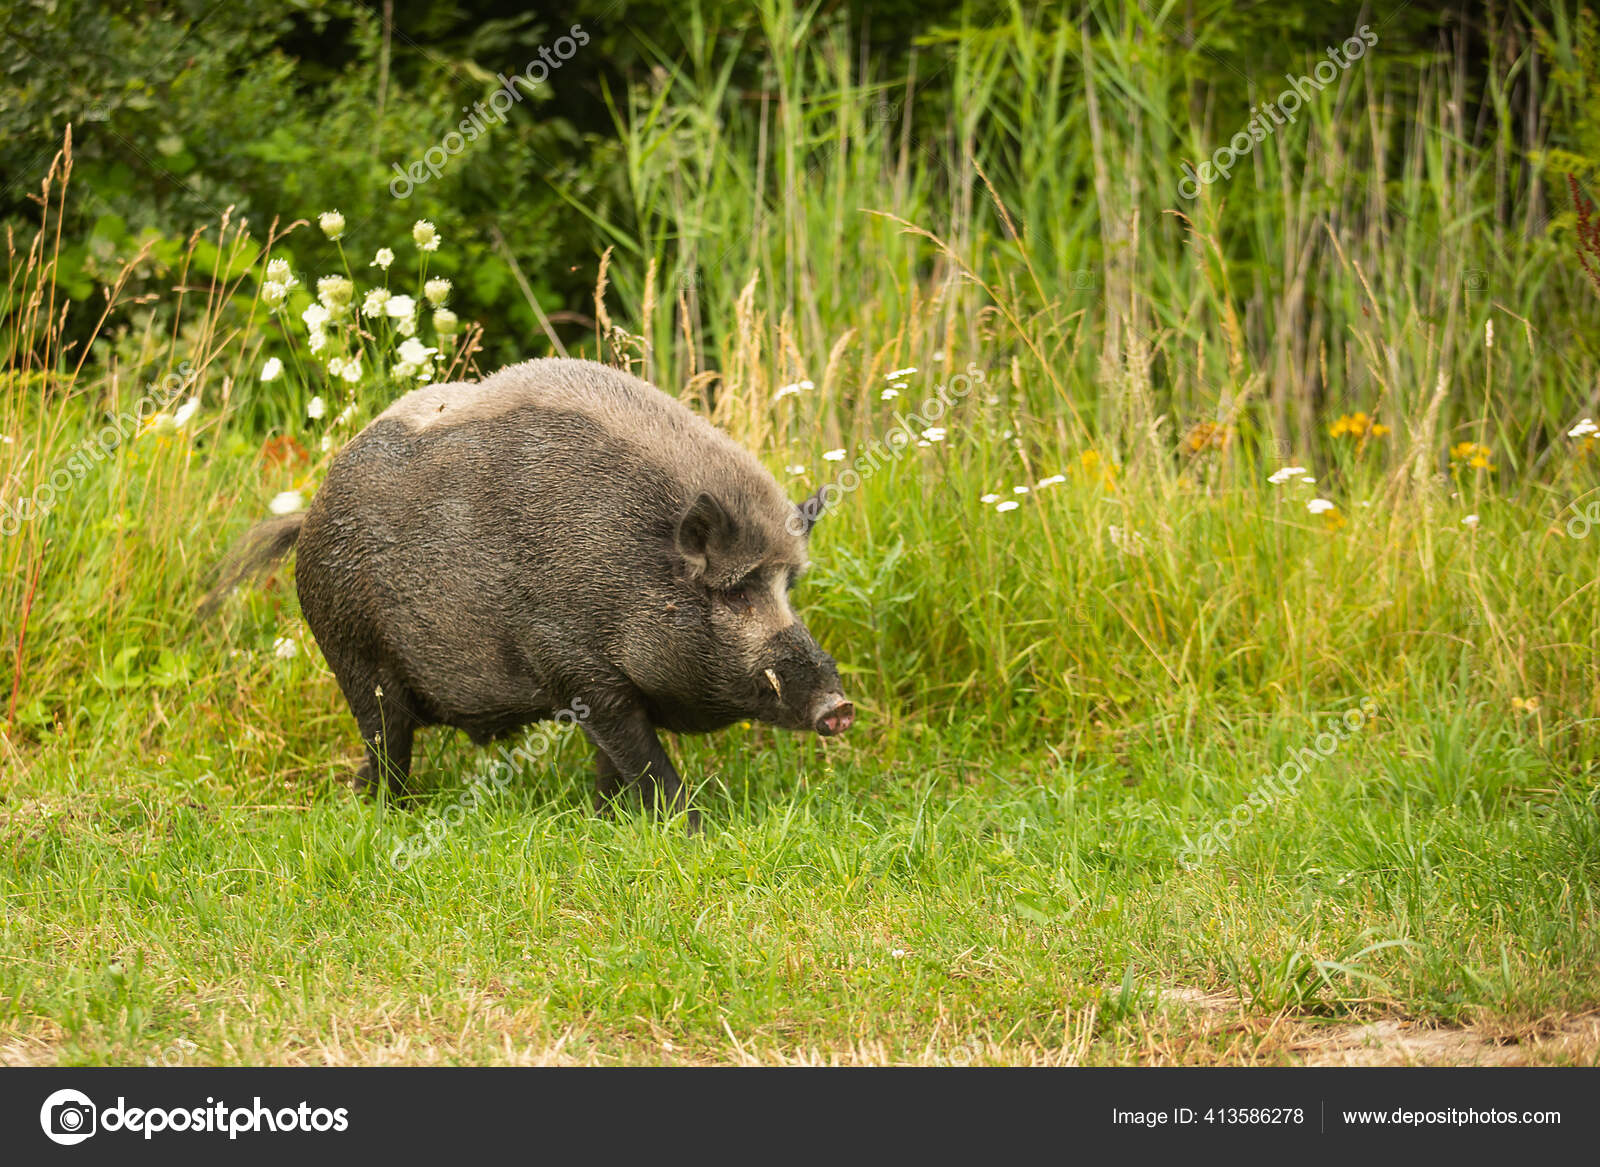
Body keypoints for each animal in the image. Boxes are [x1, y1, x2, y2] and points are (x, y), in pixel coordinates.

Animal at [201, 358, 853, 827]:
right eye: (737, 594)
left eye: (788, 586)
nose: (839, 706)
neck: (632, 562)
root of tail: (309, 516)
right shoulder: (578, 667)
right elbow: (644, 760)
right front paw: (693, 830)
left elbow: (614, 763)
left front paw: (607, 821)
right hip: (354, 656)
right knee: (387, 742)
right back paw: (393, 817)